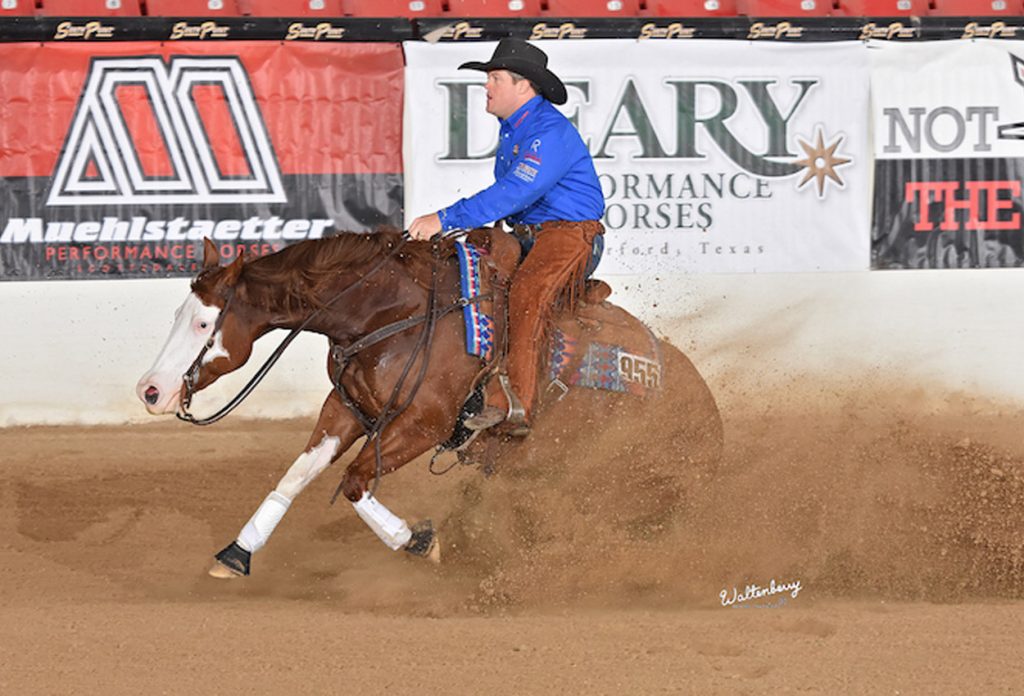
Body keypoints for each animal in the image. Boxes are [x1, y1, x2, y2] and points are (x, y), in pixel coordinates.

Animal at [135, 229, 723, 579]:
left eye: (203, 323)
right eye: (177, 314)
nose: (151, 391)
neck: (393, 312)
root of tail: (706, 406)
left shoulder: (423, 423)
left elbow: (355, 482)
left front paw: (419, 541)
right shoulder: (347, 408)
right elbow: (296, 476)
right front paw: (237, 552)